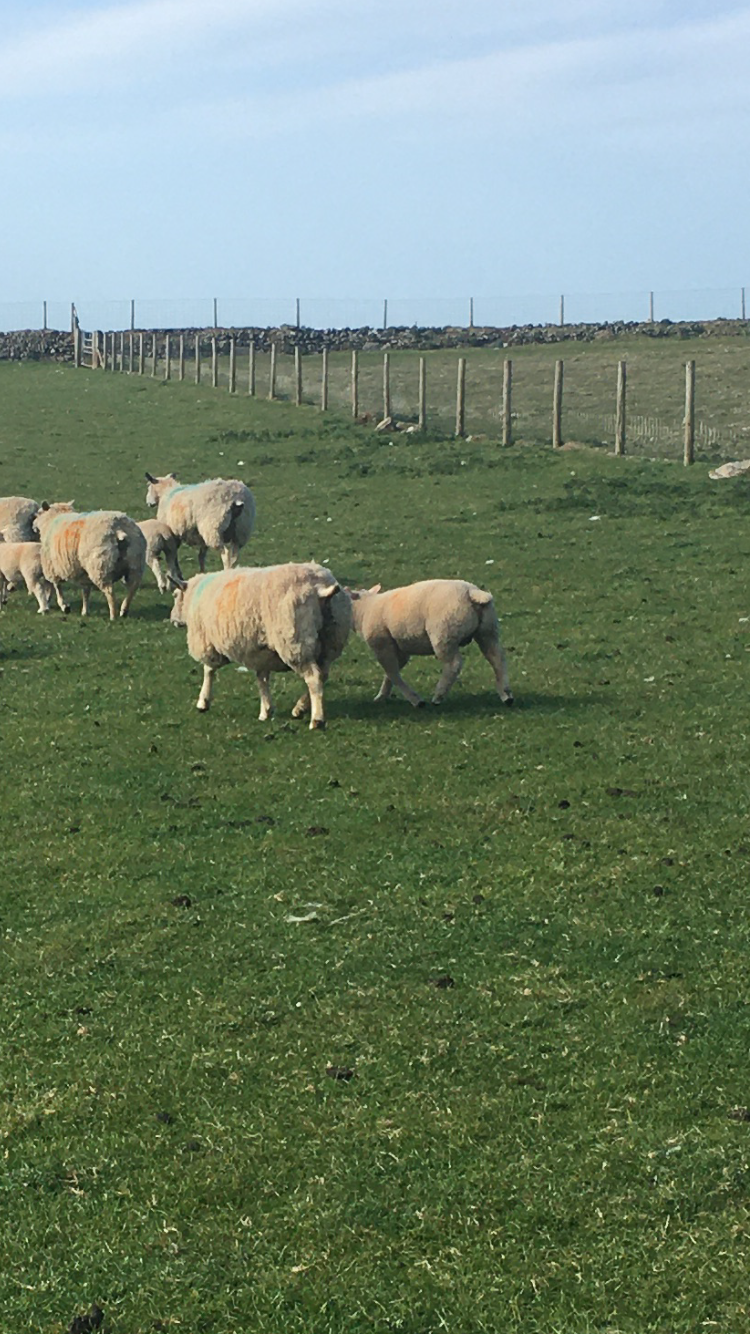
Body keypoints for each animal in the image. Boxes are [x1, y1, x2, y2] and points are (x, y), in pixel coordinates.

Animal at [170, 562, 352, 729]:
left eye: (175, 595)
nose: (172, 620)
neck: (194, 595)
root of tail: (319, 588)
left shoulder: (208, 642)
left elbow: (208, 670)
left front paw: (203, 701)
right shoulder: (260, 651)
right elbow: (262, 679)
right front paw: (266, 710)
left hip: (295, 642)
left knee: (314, 677)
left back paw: (317, 720)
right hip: (330, 642)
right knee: (323, 674)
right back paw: (300, 708)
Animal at [348, 578, 513, 707]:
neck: (365, 608)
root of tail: (473, 593)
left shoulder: (382, 645)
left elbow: (392, 673)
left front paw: (415, 700)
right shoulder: (401, 649)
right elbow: (391, 674)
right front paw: (382, 695)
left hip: (444, 634)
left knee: (453, 664)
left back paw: (438, 696)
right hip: (488, 631)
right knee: (497, 658)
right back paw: (506, 695)